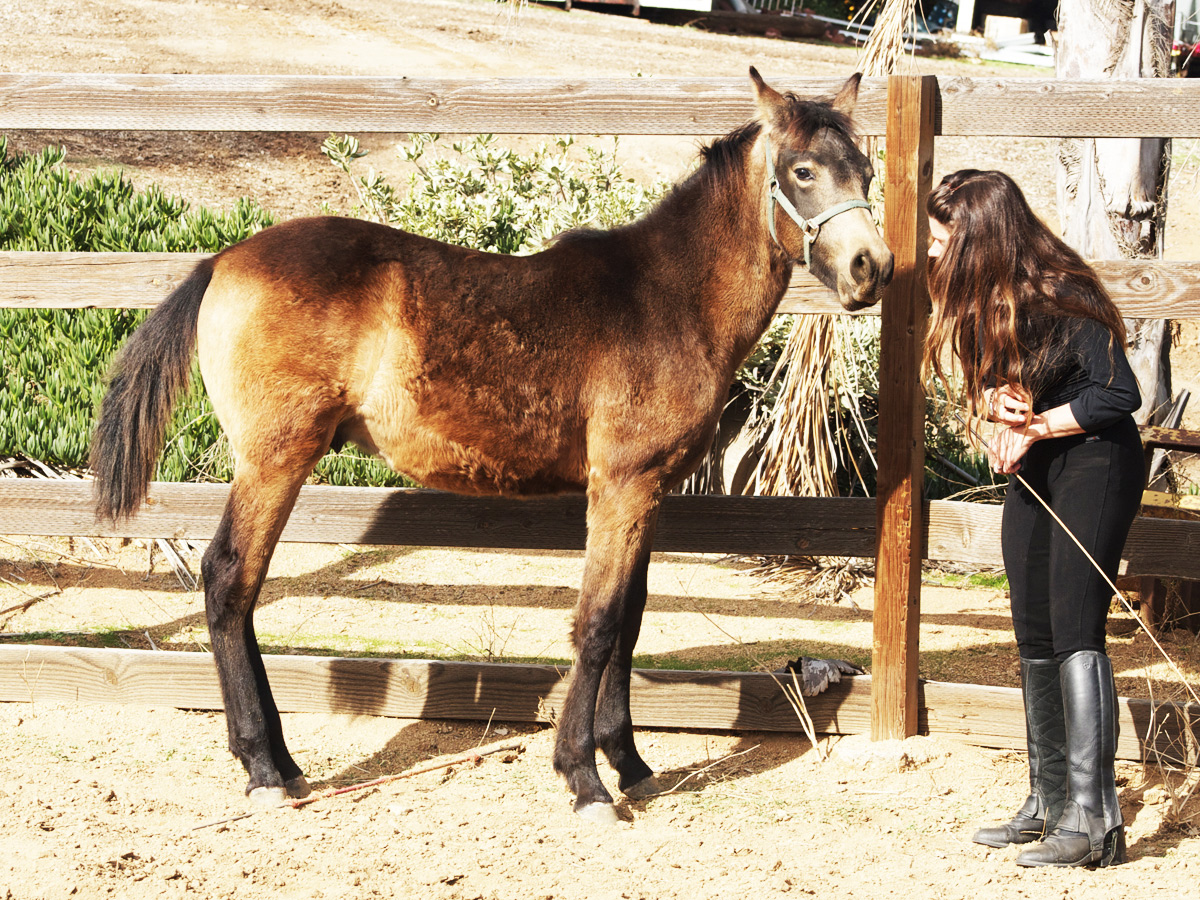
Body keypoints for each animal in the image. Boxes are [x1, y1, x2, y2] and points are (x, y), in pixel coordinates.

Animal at [90, 68, 892, 824]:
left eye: (866, 169)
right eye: (802, 170)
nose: (871, 267)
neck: (667, 299)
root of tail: (223, 260)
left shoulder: (648, 490)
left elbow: (630, 619)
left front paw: (630, 763)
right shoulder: (620, 485)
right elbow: (598, 623)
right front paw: (585, 780)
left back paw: (283, 764)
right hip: (274, 459)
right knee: (230, 580)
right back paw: (263, 768)